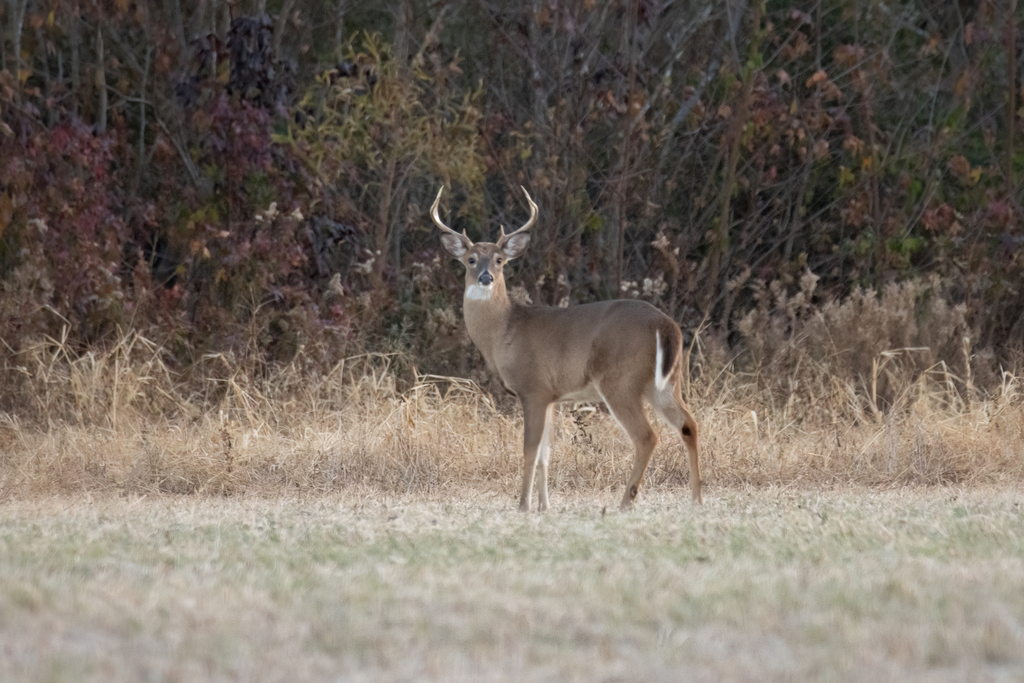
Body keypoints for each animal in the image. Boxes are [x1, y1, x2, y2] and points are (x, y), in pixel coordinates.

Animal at [431, 186, 701, 512]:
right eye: (471, 259)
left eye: (499, 260)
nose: (486, 277)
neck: (504, 332)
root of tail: (666, 324)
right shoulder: (552, 396)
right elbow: (546, 454)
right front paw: (545, 506)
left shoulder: (533, 388)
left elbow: (530, 450)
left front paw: (523, 505)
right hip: (665, 383)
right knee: (688, 424)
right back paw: (697, 498)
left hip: (621, 381)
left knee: (647, 436)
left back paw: (626, 502)